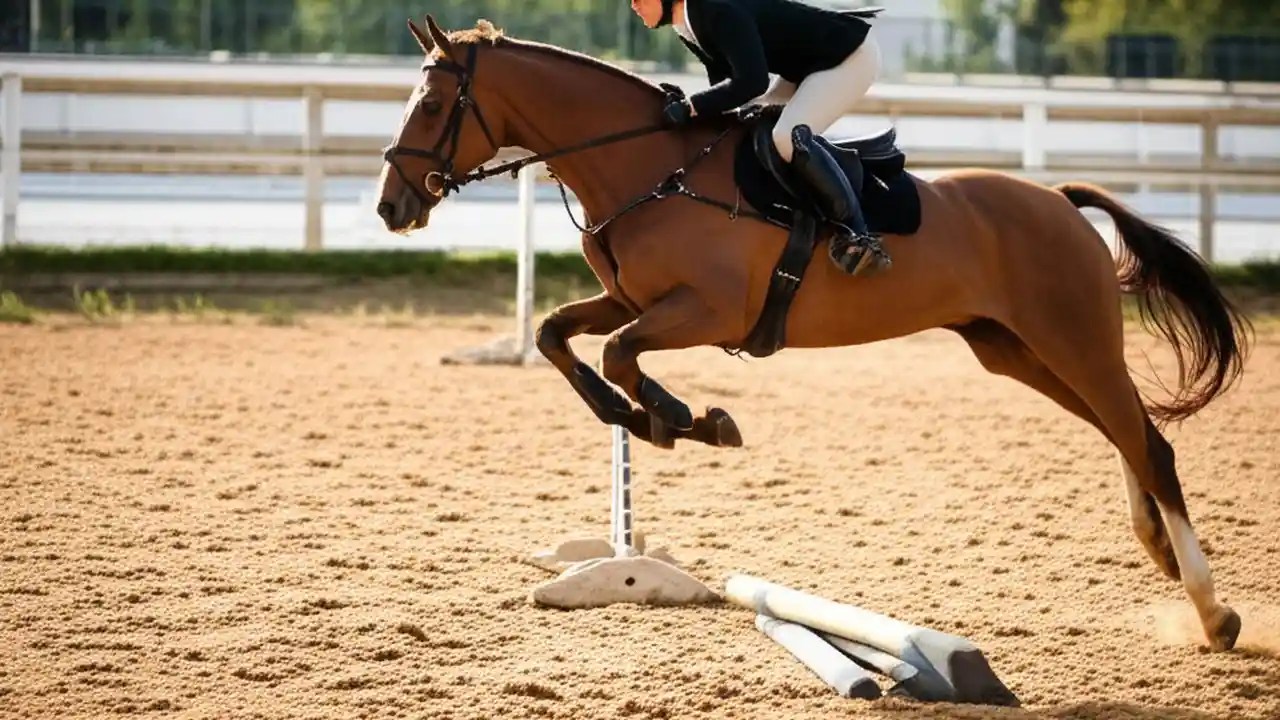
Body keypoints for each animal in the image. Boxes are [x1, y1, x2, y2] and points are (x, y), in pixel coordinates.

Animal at [374, 16, 1253, 654]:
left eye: (431, 106)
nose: (391, 207)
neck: (650, 170)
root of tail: (1061, 200)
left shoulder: (708, 310)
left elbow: (621, 353)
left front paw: (686, 419)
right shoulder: (627, 298)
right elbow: (560, 337)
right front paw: (646, 418)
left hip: (1071, 339)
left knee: (1148, 441)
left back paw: (1213, 613)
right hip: (1017, 351)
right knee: (1122, 430)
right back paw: (1161, 554)